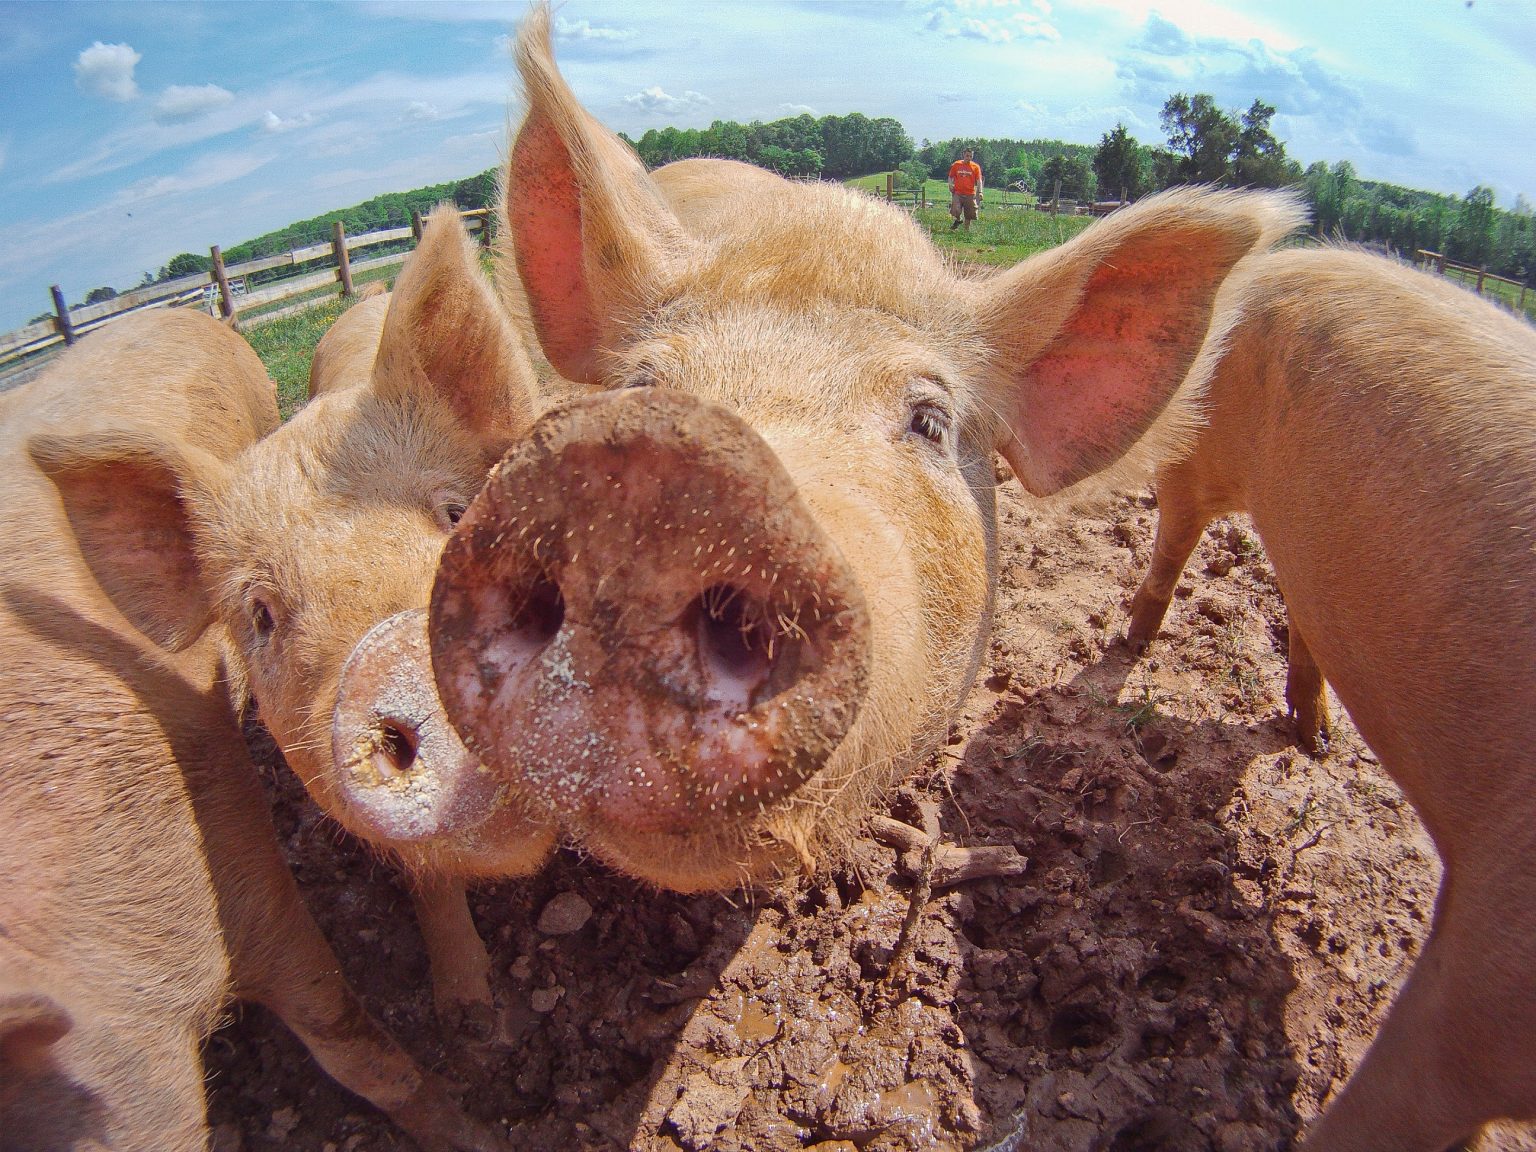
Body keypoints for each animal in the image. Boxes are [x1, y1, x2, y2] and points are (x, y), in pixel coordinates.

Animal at [4, 308, 498, 1151]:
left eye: (457, 515)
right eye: (260, 615)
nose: (400, 668)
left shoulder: (232, 863)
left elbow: (341, 1031)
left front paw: (470, 1129)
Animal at [1123, 245, 1536, 1150]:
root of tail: (1292, 252)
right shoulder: (1494, 928)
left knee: (1301, 605)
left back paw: (1314, 739)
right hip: (1202, 432)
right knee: (1176, 526)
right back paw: (1130, 642)